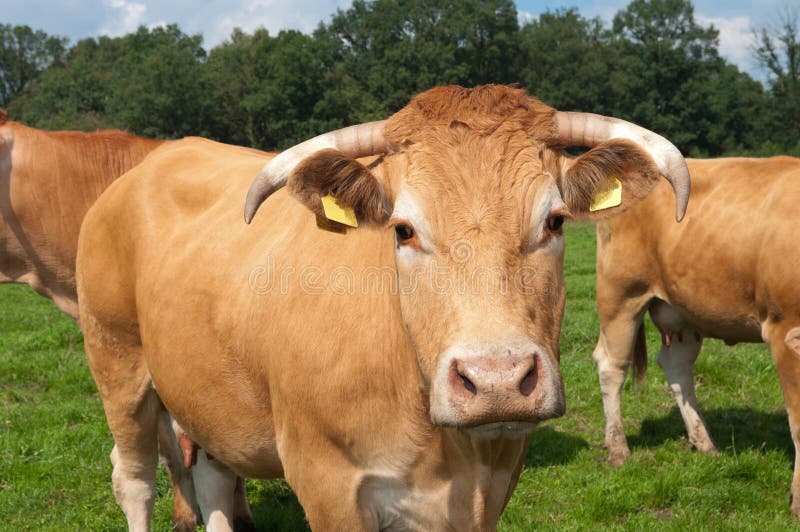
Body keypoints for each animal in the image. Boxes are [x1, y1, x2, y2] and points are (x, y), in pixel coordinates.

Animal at [76, 84, 690, 531]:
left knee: (213, 479)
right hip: (118, 364)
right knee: (133, 477)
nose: (497, 380)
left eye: (556, 220)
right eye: (403, 229)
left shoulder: (492, 486)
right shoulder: (328, 486)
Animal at [591, 155, 800, 516]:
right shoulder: (785, 329)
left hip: (684, 310)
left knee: (675, 366)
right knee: (611, 365)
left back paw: (704, 442)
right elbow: (799, 423)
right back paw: (618, 449)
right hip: (620, 295)